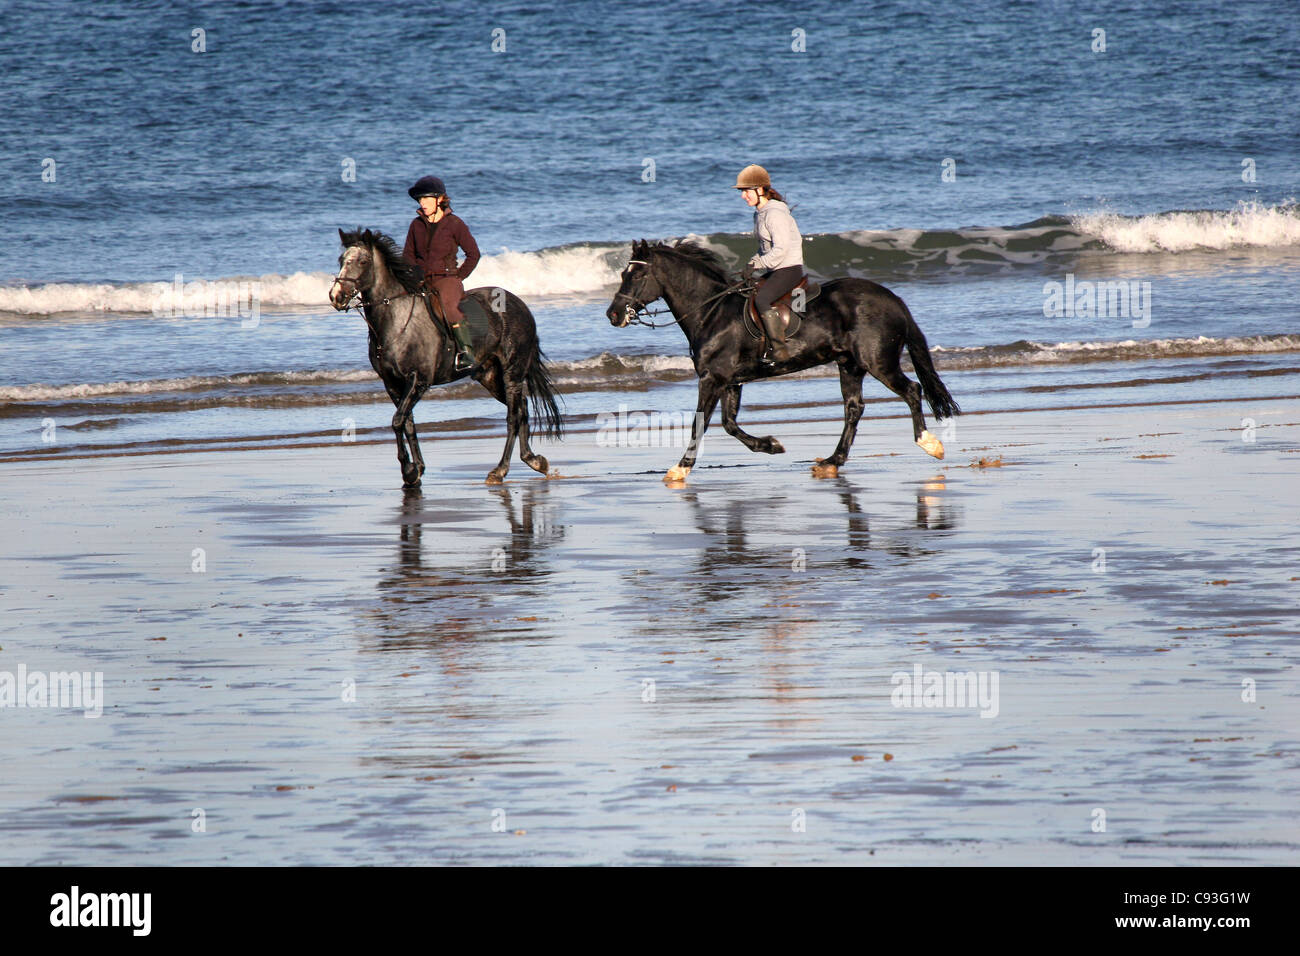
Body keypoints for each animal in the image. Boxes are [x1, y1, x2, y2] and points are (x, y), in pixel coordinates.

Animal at [329, 228, 562, 487]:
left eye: (362, 261)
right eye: (341, 260)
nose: (336, 296)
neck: (397, 322)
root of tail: (519, 304)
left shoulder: (418, 380)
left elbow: (398, 421)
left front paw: (408, 470)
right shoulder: (392, 384)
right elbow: (408, 423)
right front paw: (416, 469)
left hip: (512, 371)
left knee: (513, 416)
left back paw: (500, 470)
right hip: (490, 376)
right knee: (522, 408)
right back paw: (534, 460)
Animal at [605, 240, 960, 481]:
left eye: (637, 275)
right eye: (623, 273)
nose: (613, 315)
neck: (711, 313)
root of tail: (893, 299)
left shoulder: (712, 378)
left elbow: (700, 422)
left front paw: (680, 469)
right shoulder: (731, 381)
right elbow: (729, 424)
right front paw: (771, 445)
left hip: (877, 362)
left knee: (912, 391)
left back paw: (930, 444)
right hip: (850, 365)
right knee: (854, 409)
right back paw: (831, 461)